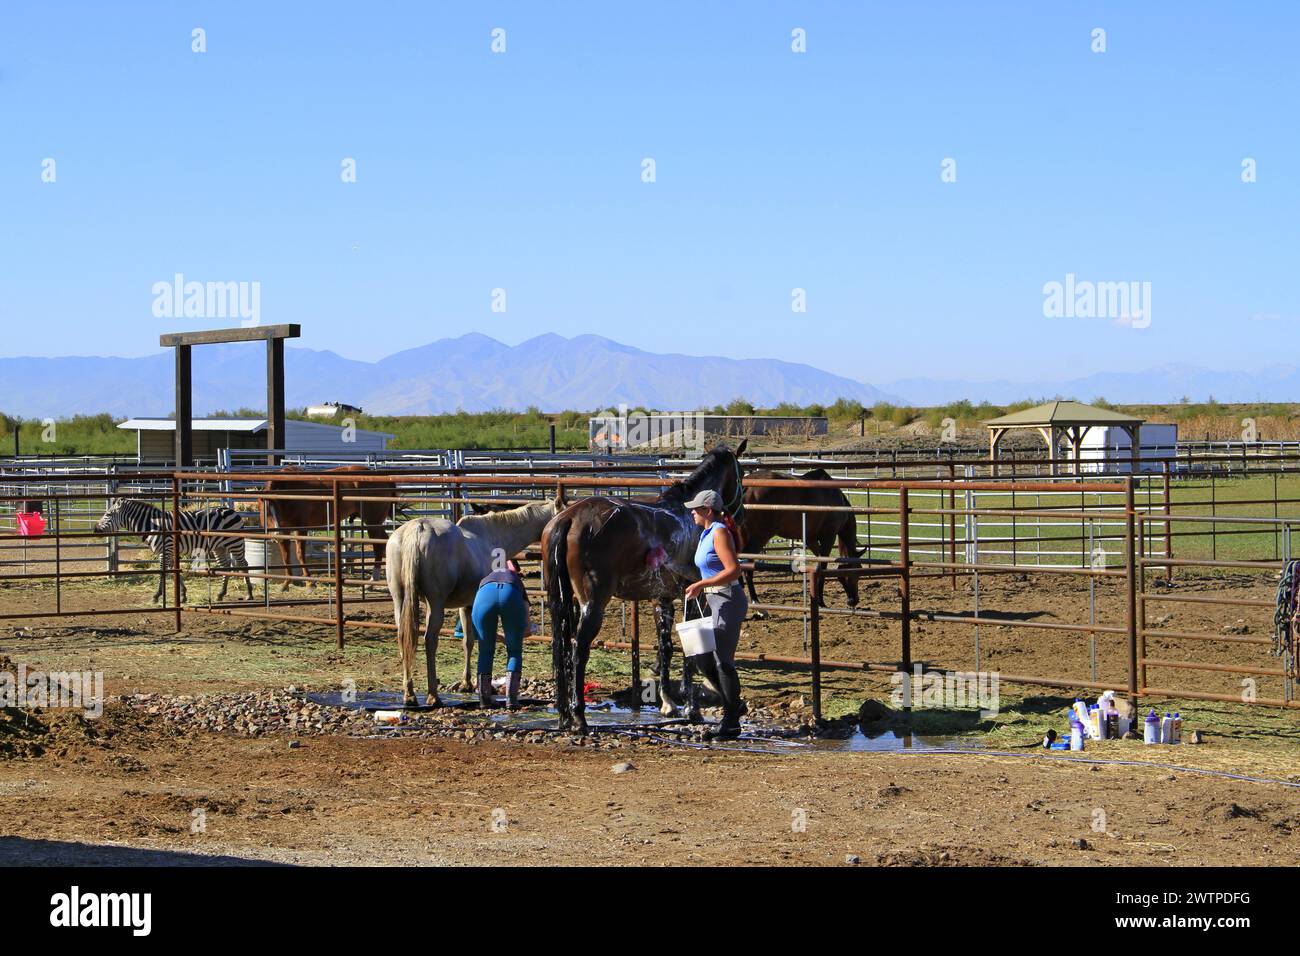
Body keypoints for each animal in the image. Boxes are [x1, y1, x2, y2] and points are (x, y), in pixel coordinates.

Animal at [261, 465, 393, 591]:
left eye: (276, 509)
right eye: (266, 512)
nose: (276, 534)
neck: (290, 492)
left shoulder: (301, 528)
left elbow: (300, 554)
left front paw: (310, 583)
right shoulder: (285, 530)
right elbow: (286, 556)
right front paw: (286, 583)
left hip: (373, 523)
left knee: (378, 546)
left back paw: (372, 581)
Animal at [387, 491, 566, 707]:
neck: (490, 536)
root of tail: (418, 529)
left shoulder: (464, 605)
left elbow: (467, 641)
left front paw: (466, 683)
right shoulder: (472, 603)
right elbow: (477, 640)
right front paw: (469, 683)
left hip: (400, 598)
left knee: (404, 636)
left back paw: (409, 693)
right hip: (435, 602)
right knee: (430, 639)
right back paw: (433, 696)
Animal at [542, 441, 747, 733]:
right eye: (742, 474)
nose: (740, 517)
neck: (685, 514)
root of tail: (567, 519)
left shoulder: (662, 598)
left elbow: (666, 647)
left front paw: (668, 703)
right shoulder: (693, 596)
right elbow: (689, 654)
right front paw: (691, 708)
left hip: (562, 600)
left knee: (563, 647)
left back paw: (564, 716)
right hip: (593, 603)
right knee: (579, 650)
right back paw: (579, 716)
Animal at [740, 468, 865, 614]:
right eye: (857, 572)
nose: (853, 601)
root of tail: (747, 486)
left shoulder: (811, 539)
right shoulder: (828, 537)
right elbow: (823, 566)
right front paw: (821, 602)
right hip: (759, 537)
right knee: (747, 565)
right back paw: (757, 603)